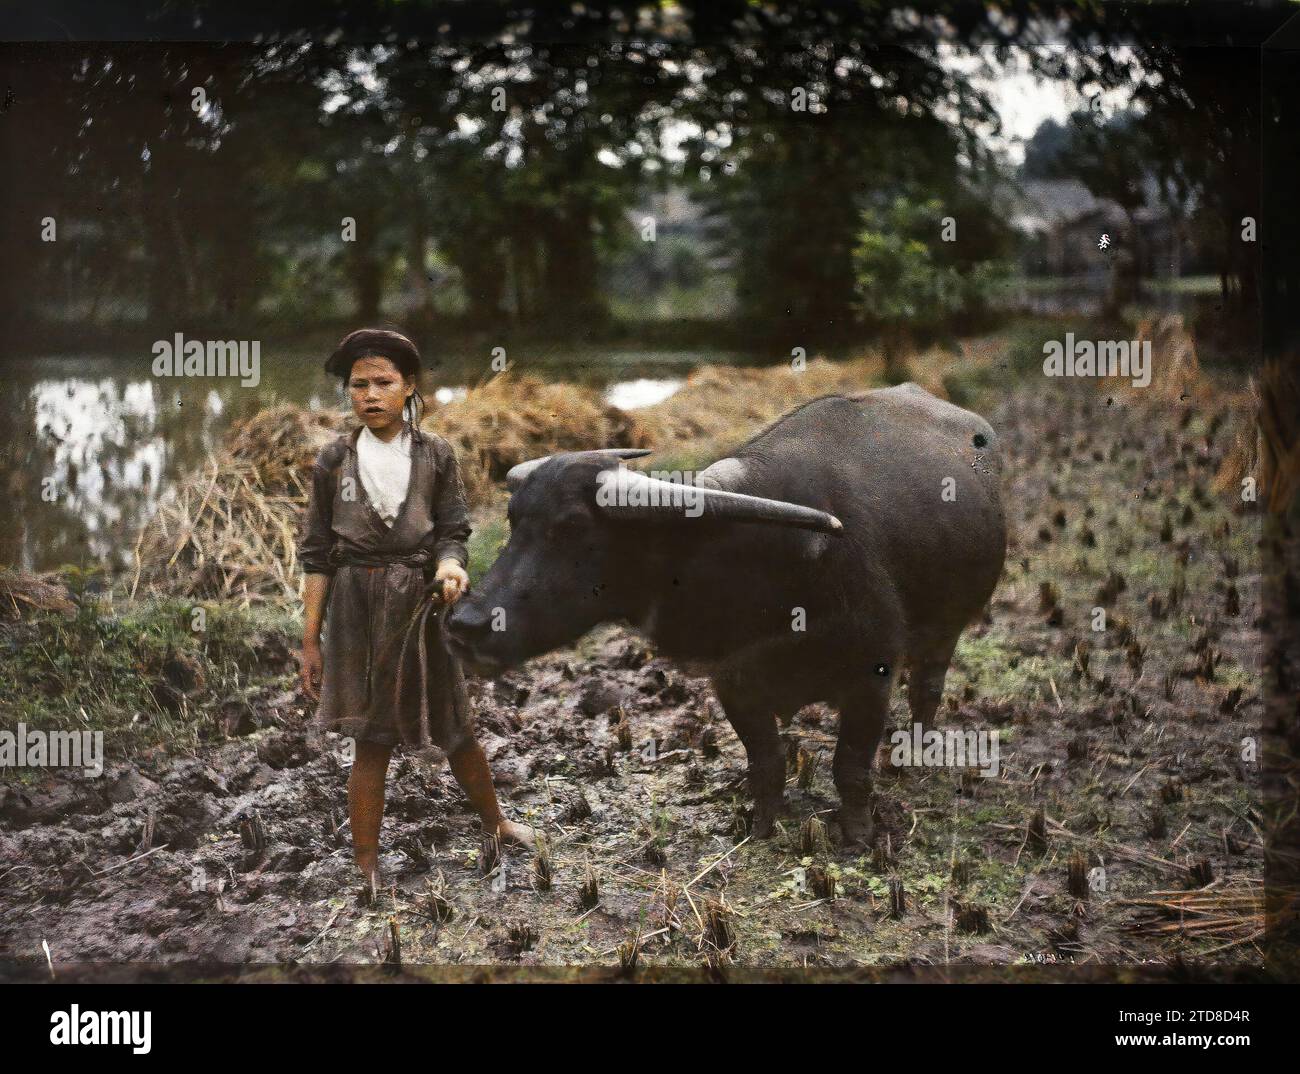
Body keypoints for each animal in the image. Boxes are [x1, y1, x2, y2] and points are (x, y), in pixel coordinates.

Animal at [447, 384, 1007, 846]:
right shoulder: (734, 683)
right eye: (513, 520)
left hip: (947, 630)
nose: (465, 622)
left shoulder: (872, 674)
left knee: (927, 689)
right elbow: (768, 761)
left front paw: (859, 833)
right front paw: (761, 824)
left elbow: (850, 764)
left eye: (571, 528)